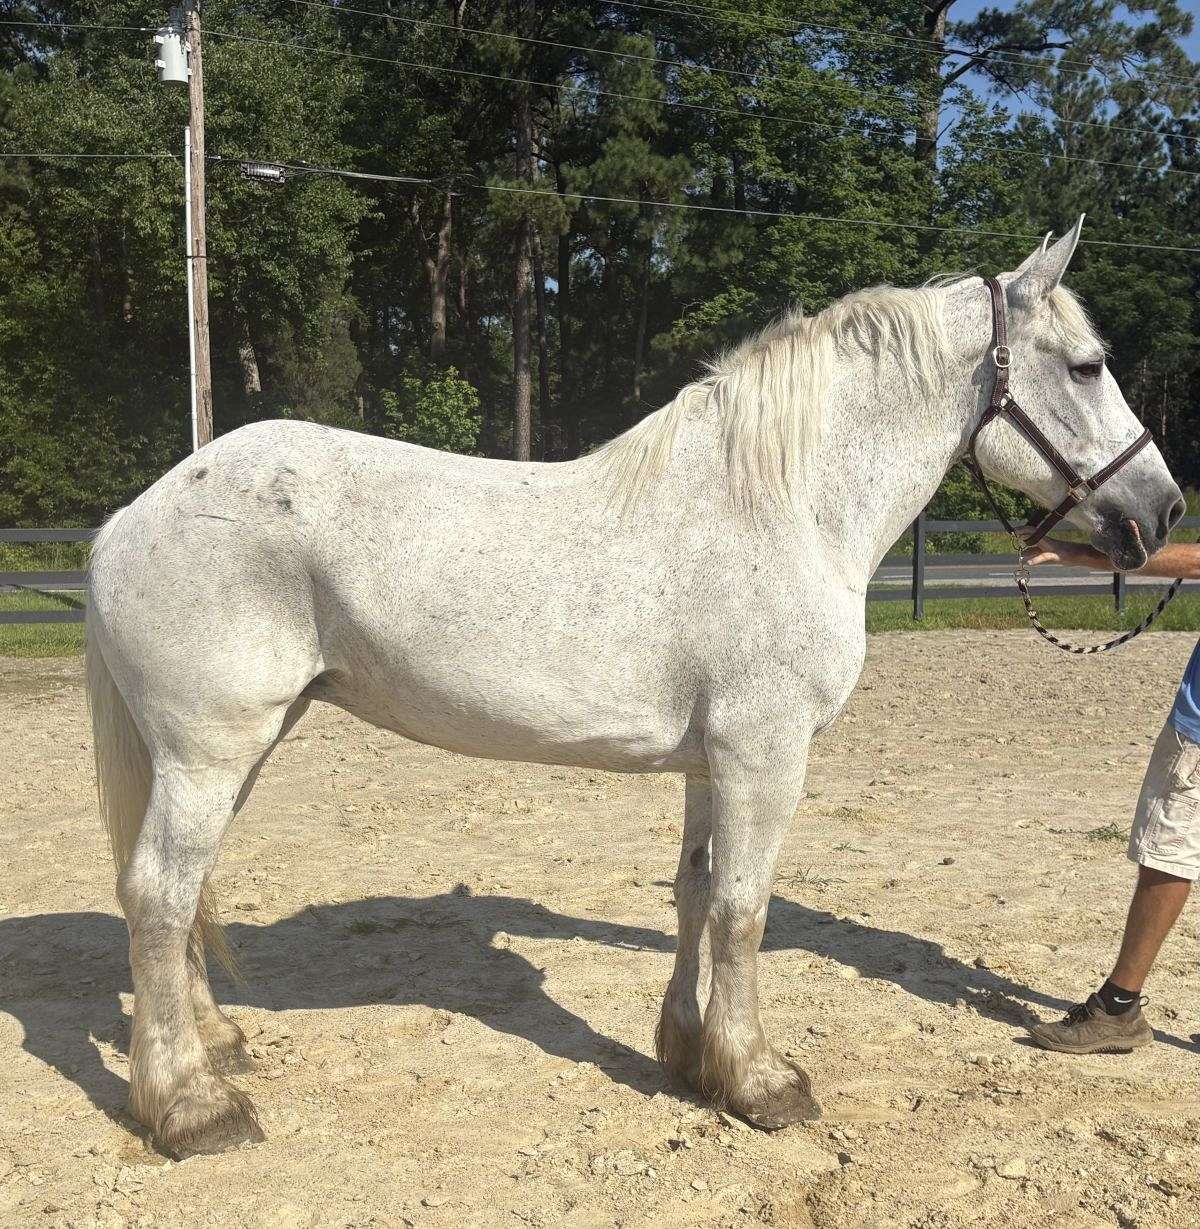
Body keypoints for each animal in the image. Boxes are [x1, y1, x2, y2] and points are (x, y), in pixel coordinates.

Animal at [85, 217, 1184, 1157]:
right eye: (1086, 365)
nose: (1165, 509)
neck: (782, 504)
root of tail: (127, 518)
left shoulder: (712, 760)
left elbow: (695, 892)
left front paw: (691, 1053)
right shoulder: (765, 752)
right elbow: (744, 907)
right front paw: (761, 1081)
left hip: (236, 748)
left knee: (181, 893)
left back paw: (212, 1045)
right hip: (210, 750)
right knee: (159, 891)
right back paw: (190, 1105)